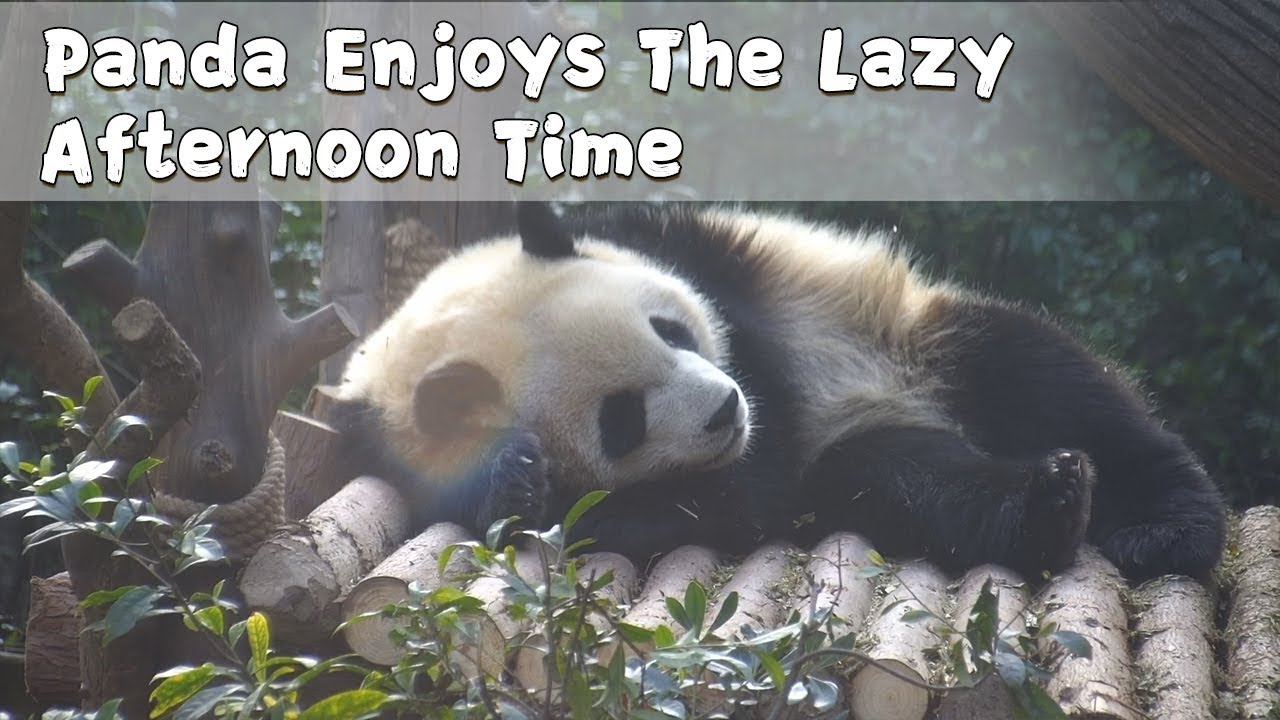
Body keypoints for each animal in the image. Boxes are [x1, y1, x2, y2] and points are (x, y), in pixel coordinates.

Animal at [332, 202, 1226, 583]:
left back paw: (1161, 524)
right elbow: (708, 503)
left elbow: (751, 477)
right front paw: (519, 484)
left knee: (1048, 382)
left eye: (671, 330)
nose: (725, 410)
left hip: (913, 336)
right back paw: (1043, 510)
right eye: (620, 419)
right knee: (912, 483)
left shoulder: (719, 275)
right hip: (878, 444)